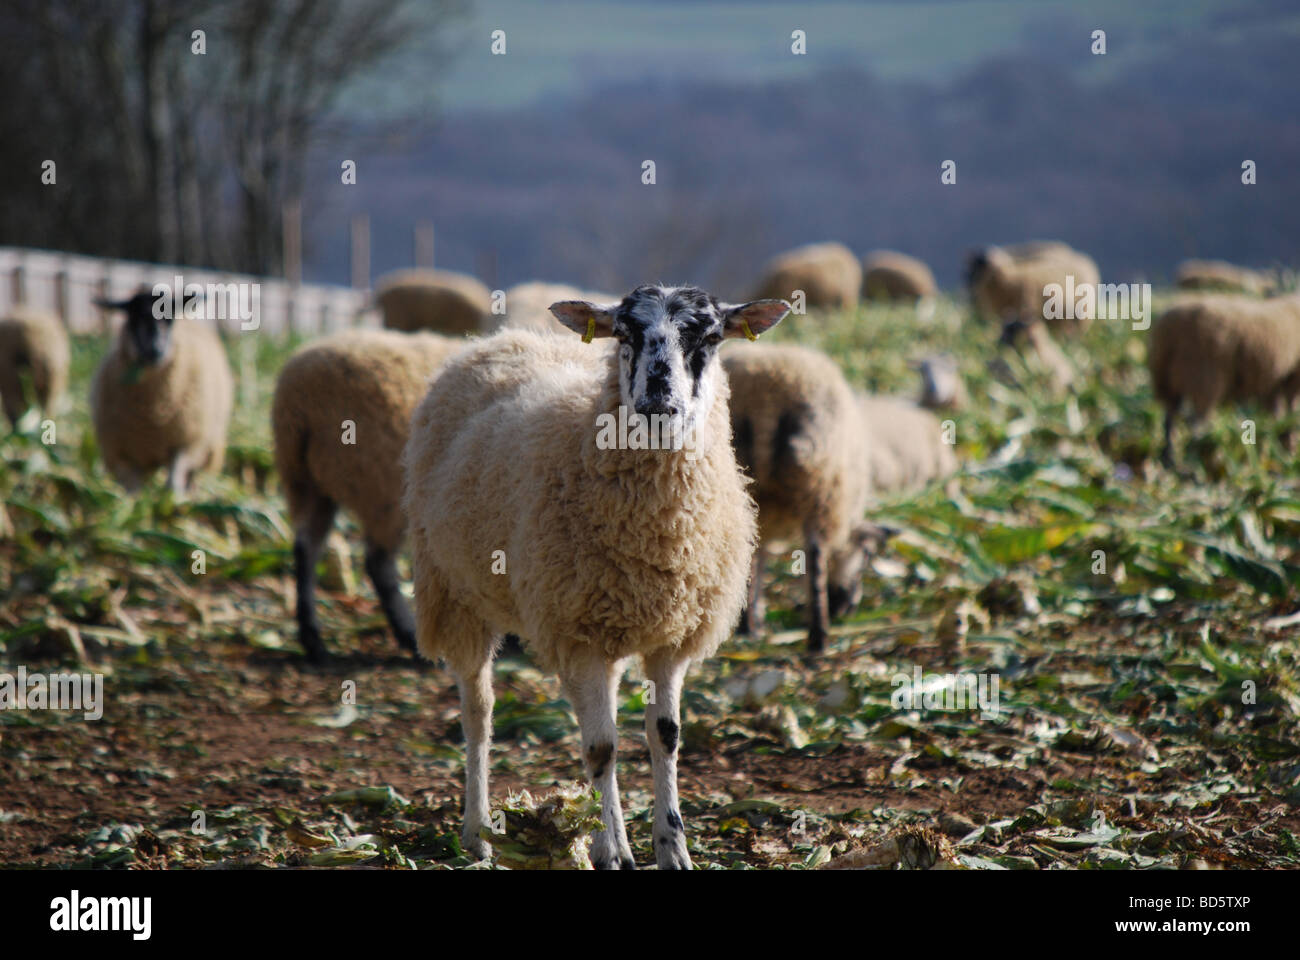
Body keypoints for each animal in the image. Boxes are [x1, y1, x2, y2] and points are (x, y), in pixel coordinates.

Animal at [91, 290, 233, 495]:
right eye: (134, 318)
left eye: (169, 320)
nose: (155, 349)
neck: (152, 415)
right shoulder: (121, 453)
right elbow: (133, 493)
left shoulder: (187, 441)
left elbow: (172, 484)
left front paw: (172, 500)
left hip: (206, 446)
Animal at [271, 327, 463, 662]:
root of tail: (300, 401)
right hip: (383, 487)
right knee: (378, 563)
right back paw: (409, 636)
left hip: (309, 483)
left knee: (306, 548)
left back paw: (313, 639)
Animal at [402, 284, 789, 868]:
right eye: (624, 335)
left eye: (710, 338)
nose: (657, 405)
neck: (659, 532)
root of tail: (501, 339)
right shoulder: (580, 634)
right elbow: (602, 748)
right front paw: (615, 851)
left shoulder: (671, 638)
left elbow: (666, 736)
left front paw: (673, 847)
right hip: (454, 591)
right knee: (479, 712)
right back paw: (476, 833)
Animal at [725, 344, 956, 650]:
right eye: (868, 553)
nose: (844, 607)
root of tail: (766, 391)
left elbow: (757, 559)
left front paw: (751, 624)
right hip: (823, 483)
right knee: (815, 556)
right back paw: (819, 637)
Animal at [1148, 294, 1300, 465]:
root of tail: (1167, 333)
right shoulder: (1289, 379)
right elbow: (1289, 413)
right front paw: (1288, 446)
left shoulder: (1273, 384)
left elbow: (1278, 415)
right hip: (1203, 378)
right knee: (1195, 424)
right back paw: (1197, 455)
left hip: (1167, 380)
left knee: (1169, 419)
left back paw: (1169, 457)